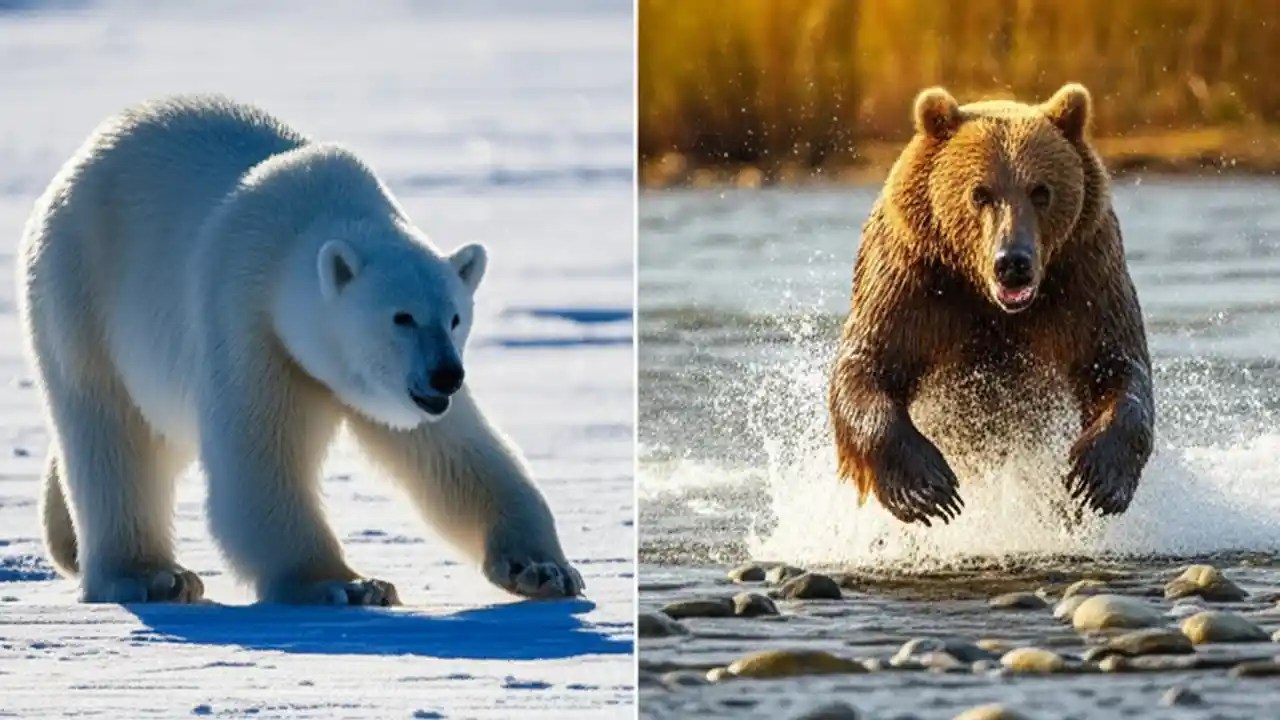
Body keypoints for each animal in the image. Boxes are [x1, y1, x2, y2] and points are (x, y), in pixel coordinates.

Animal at [18, 95, 583, 604]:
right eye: (401, 317)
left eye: (455, 317)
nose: (447, 375)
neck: (303, 225)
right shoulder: (245, 315)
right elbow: (257, 459)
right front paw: (347, 584)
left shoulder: (397, 391)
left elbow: (458, 453)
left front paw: (542, 569)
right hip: (82, 290)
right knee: (112, 433)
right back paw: (151, 576)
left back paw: (68, 540)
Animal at [827, 83, 1154, 526]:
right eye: (980, 192)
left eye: (1041, 191)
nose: (1013, 262)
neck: (987, 298)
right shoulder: (912, 279)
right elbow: (868, 364)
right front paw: (925, 488)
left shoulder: (1084, 275)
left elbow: (1115, 363)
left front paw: (1098, 477)